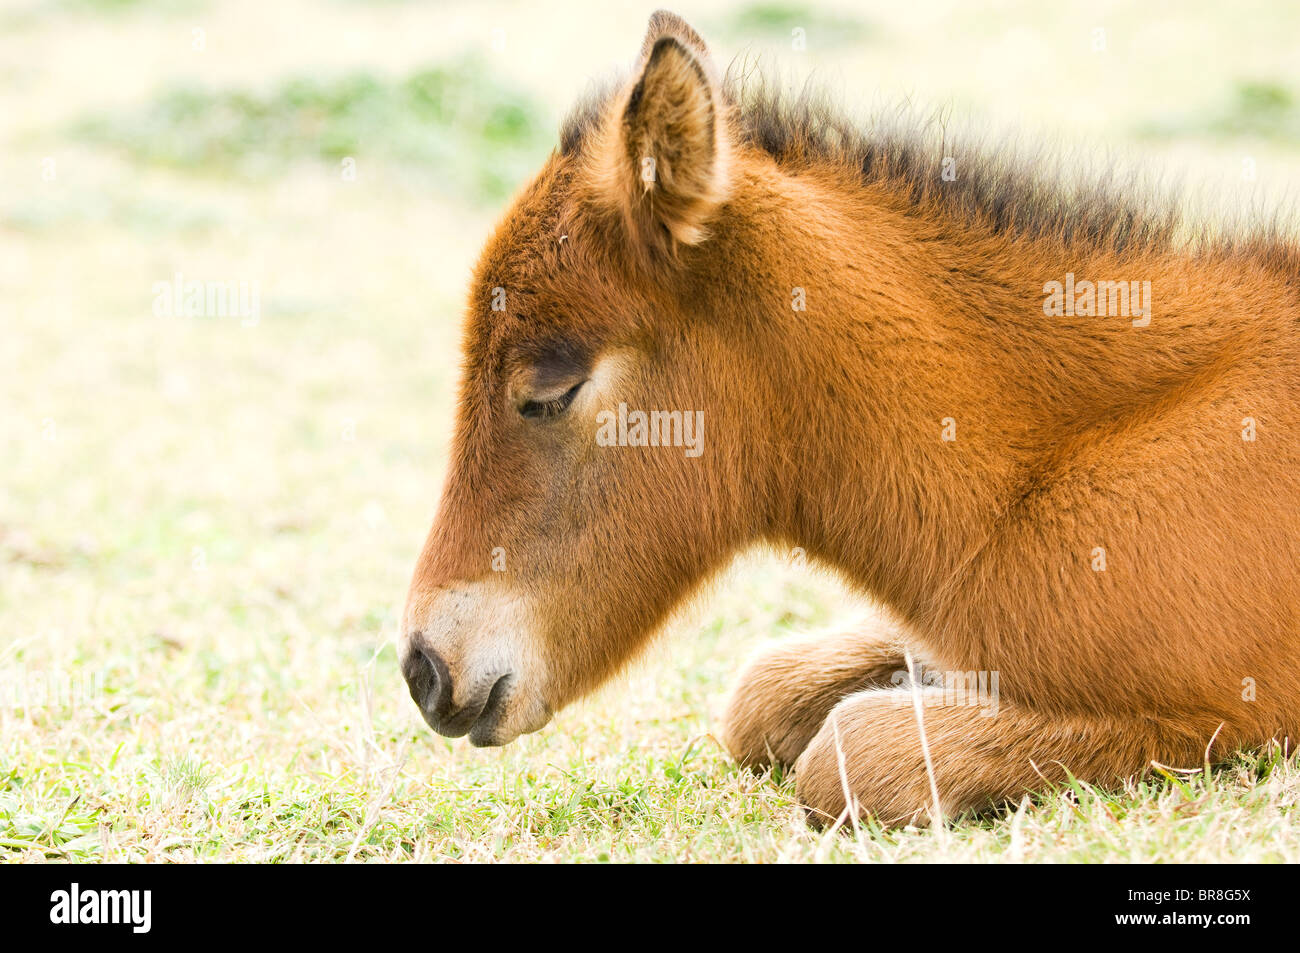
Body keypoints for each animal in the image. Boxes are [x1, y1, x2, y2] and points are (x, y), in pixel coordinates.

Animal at [400, 10, 1300, 826]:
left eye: (551, 389)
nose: (423, 669)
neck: (1045, 474)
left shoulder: (1223, 713)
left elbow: (848, 752)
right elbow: (763, 692)